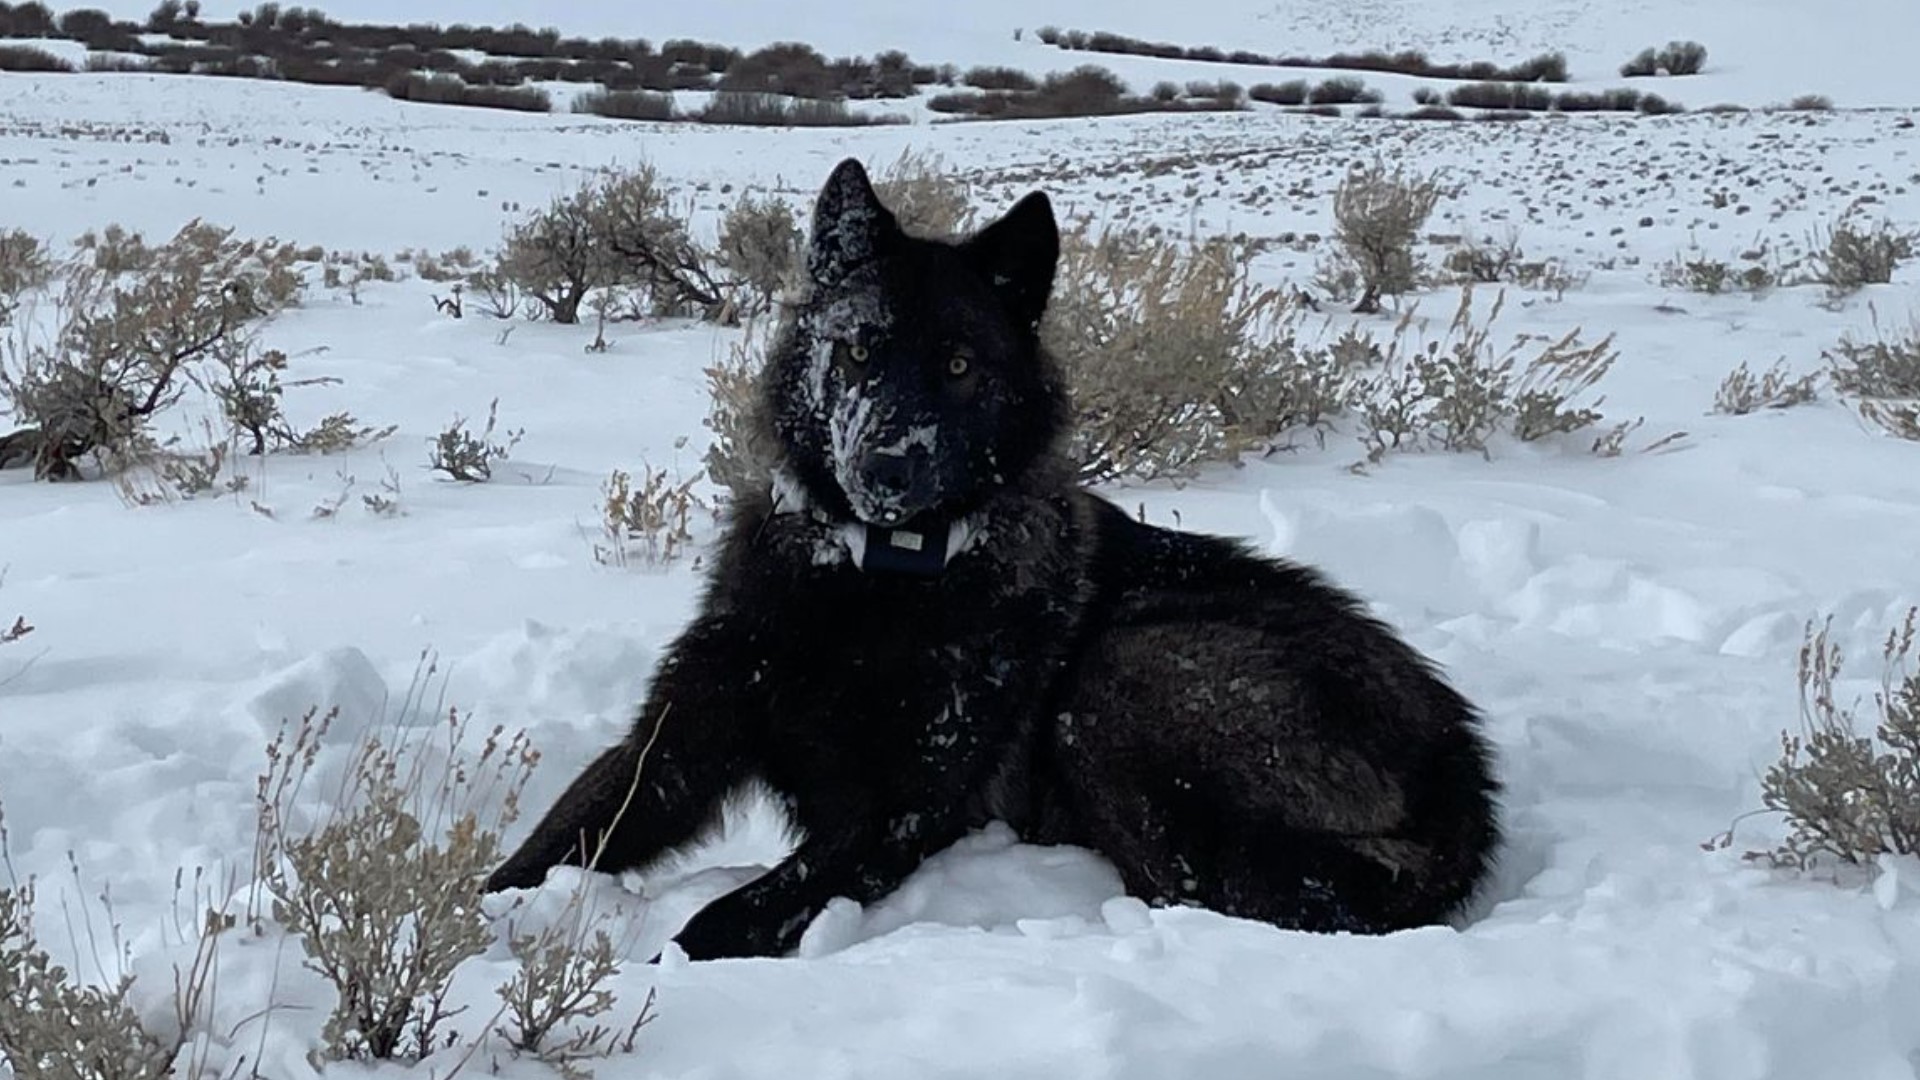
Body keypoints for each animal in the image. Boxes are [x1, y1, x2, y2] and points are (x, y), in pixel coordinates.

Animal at [485, 159, 1501, 959]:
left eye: (961, 365)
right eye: (859, 348)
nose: (887, 464)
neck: (876, 584)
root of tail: (1462, 776)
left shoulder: (899, 813)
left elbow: (724, 922)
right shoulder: (676, 744)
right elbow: (545, 849)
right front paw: (470, 932)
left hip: (1125, 675)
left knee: (1204, 886)